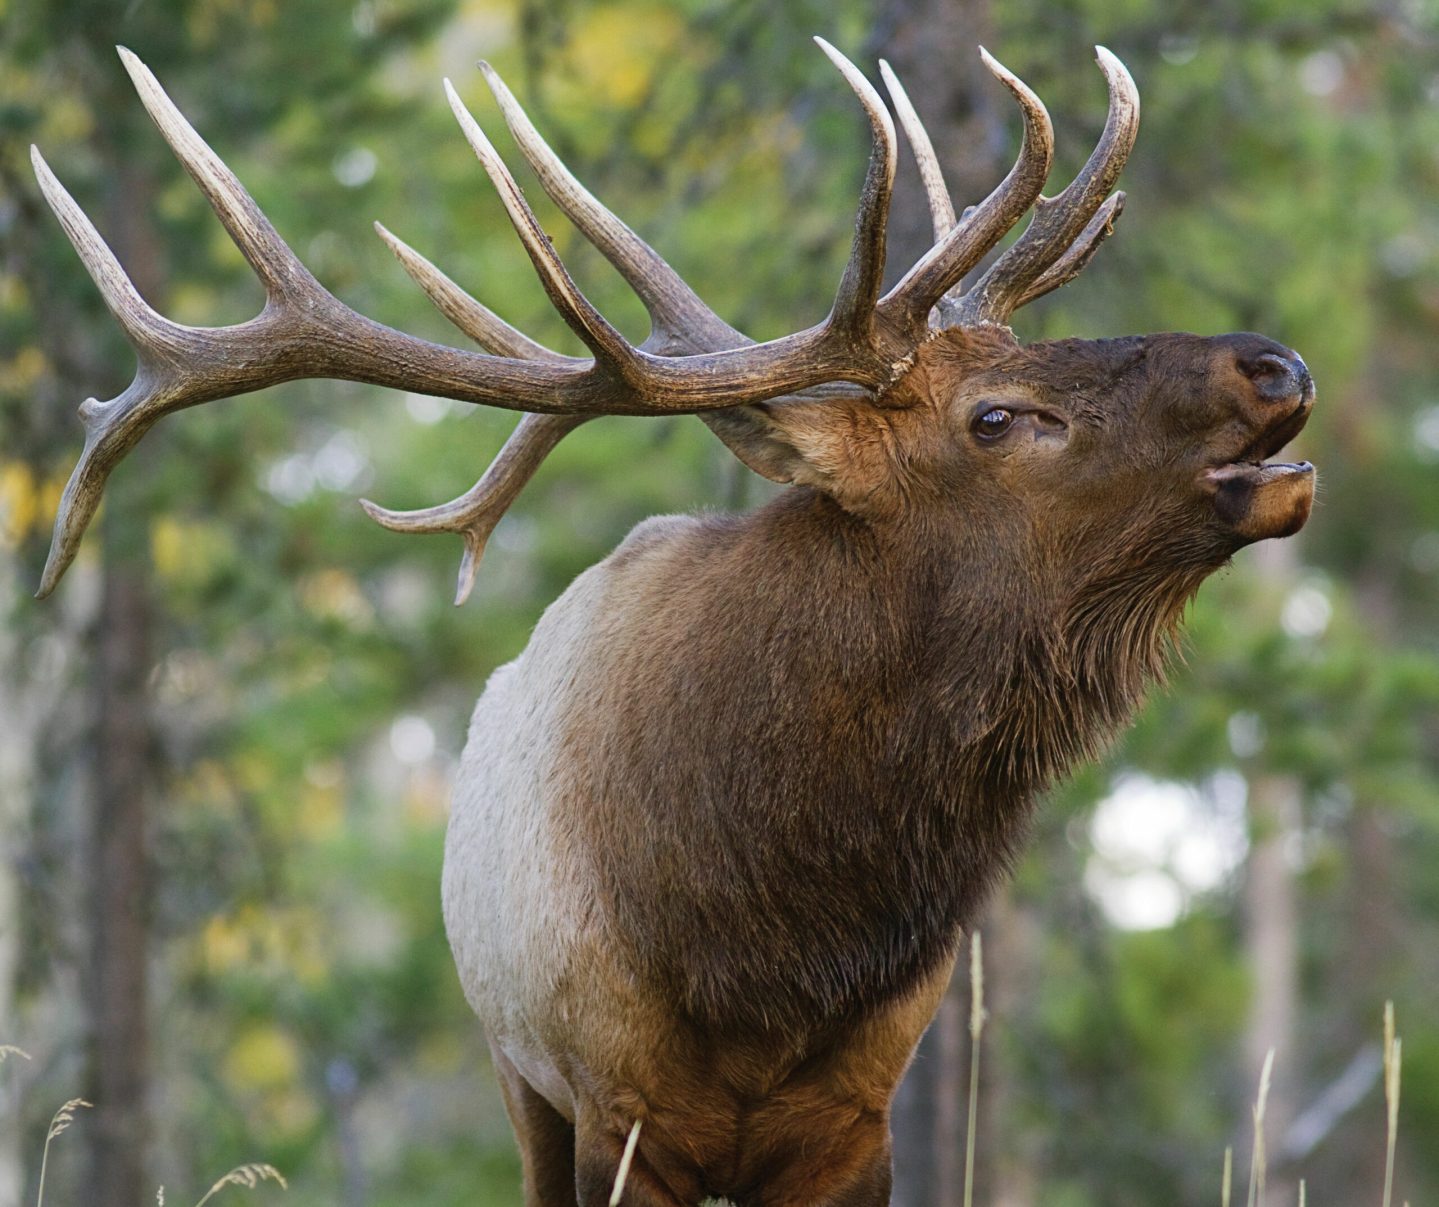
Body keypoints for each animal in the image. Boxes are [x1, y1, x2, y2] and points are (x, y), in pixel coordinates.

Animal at [31, 36, 1316, 1207]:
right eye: (995, 415)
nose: (1273, 363)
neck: (771, 939)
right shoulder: (618, 1109)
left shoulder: (856, 1115)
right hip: (516, 1074)